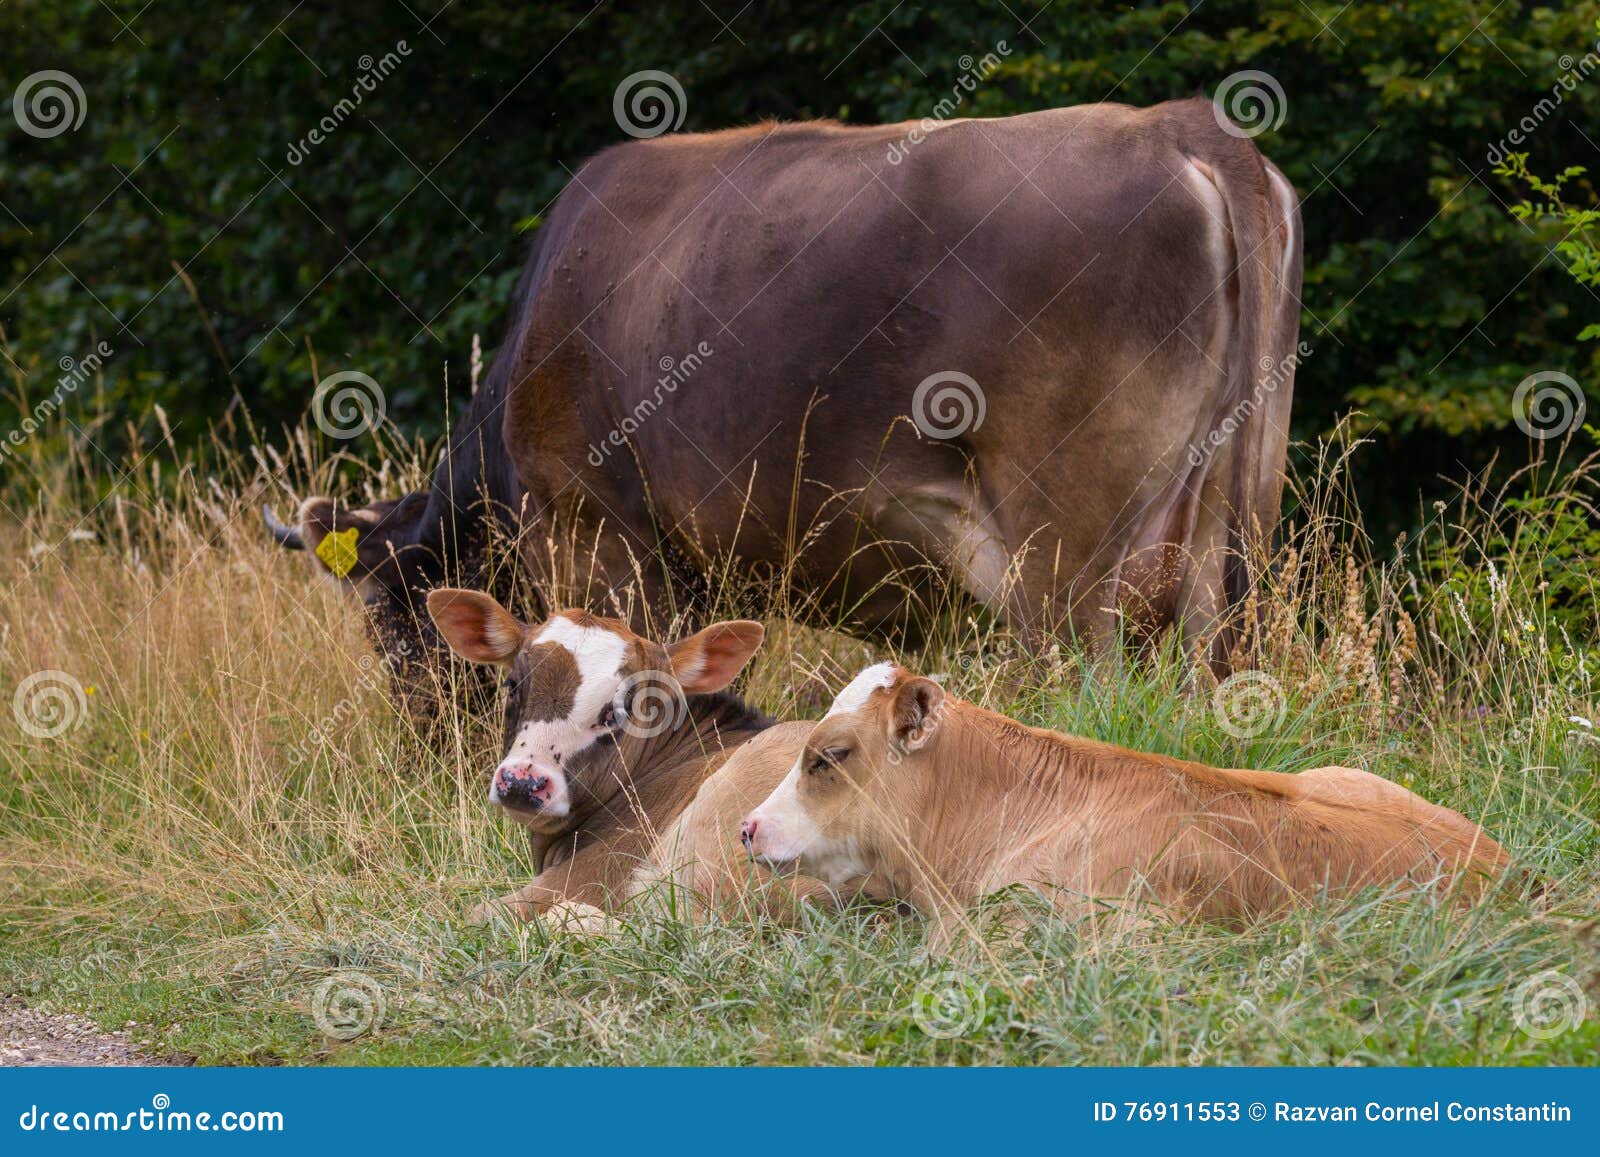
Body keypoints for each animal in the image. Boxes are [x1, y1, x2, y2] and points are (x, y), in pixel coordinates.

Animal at [266, 96, 1302, 692]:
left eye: (397, 629)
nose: (422, 746)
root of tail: (1184, 122)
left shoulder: (593, 528)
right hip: (1226, 522)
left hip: (1068, 548)